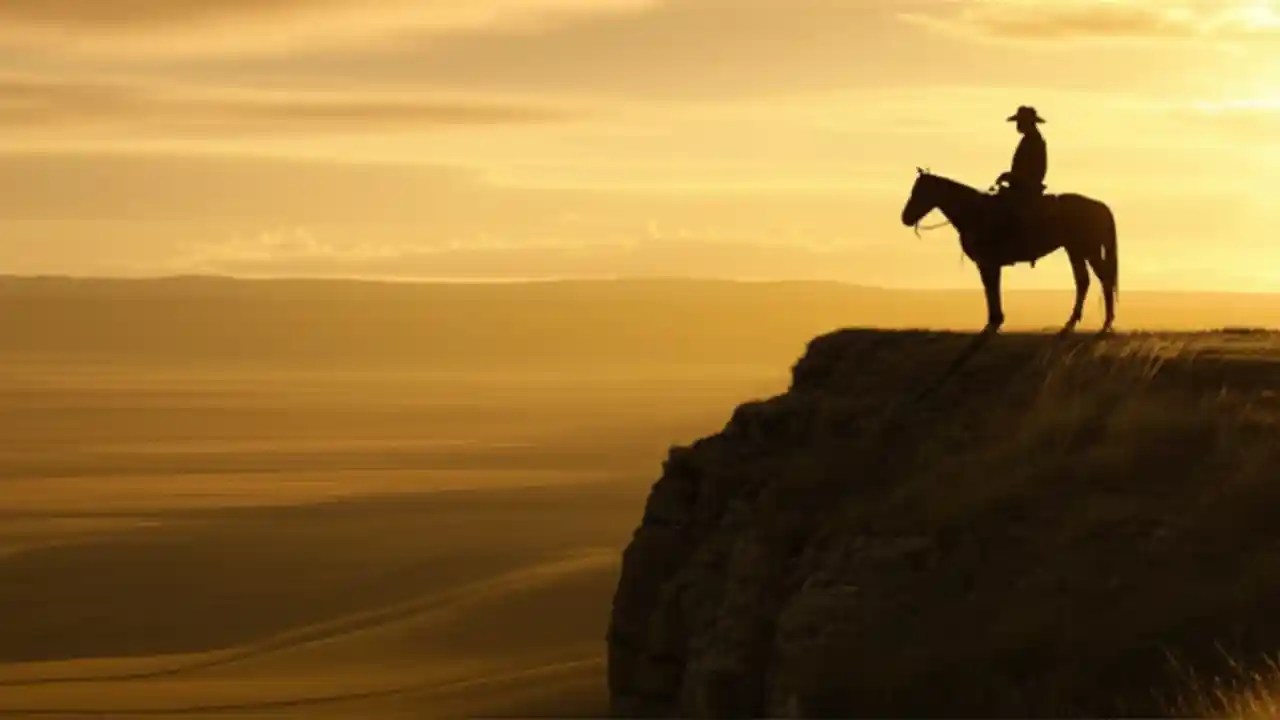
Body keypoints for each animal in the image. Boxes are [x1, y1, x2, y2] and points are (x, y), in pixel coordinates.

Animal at [900, 169, 1118, 335]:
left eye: (921, 191)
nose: (905, 218)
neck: (975, 212)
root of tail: (1099, 206)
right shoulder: (987, 263)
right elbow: (990, 289)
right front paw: (994, 322)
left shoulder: (988, 263)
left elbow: (991, 289)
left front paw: (994, 322)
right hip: (1075, 250)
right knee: (1083, 281)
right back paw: (1071, 324)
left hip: (1087, 250)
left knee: (1104, 279)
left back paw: (1105, 324)